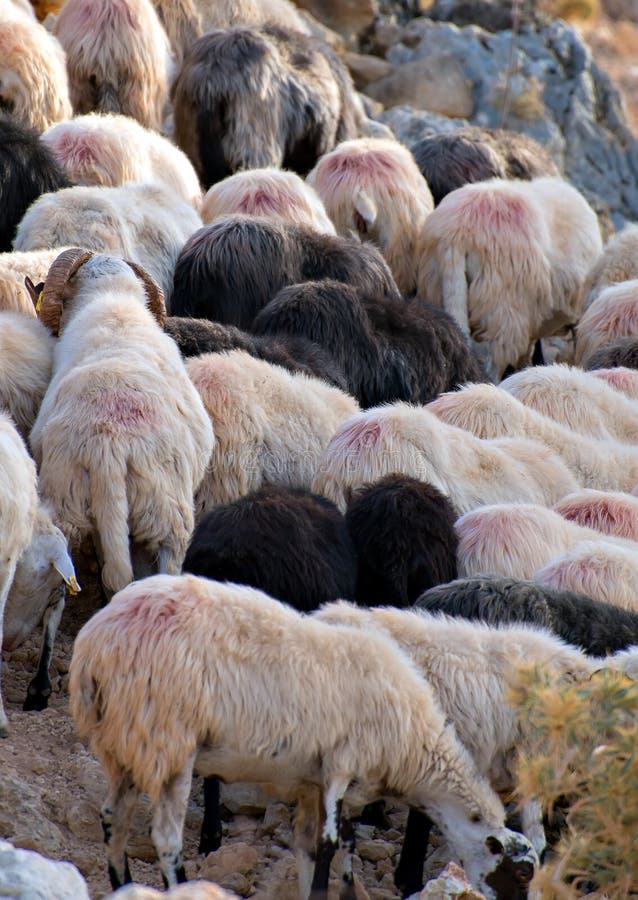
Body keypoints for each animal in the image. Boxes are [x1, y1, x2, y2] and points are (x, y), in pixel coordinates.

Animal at [69, 573, 539, 896]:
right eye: (521, 873)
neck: (411, 748)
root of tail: (96, 644)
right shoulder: (340, 766)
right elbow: (329, 845)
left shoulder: (317, 784)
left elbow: (321, 847)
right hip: (168, 741)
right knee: (165, 840)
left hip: (122, 743)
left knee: (113, 819)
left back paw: (124, 886)